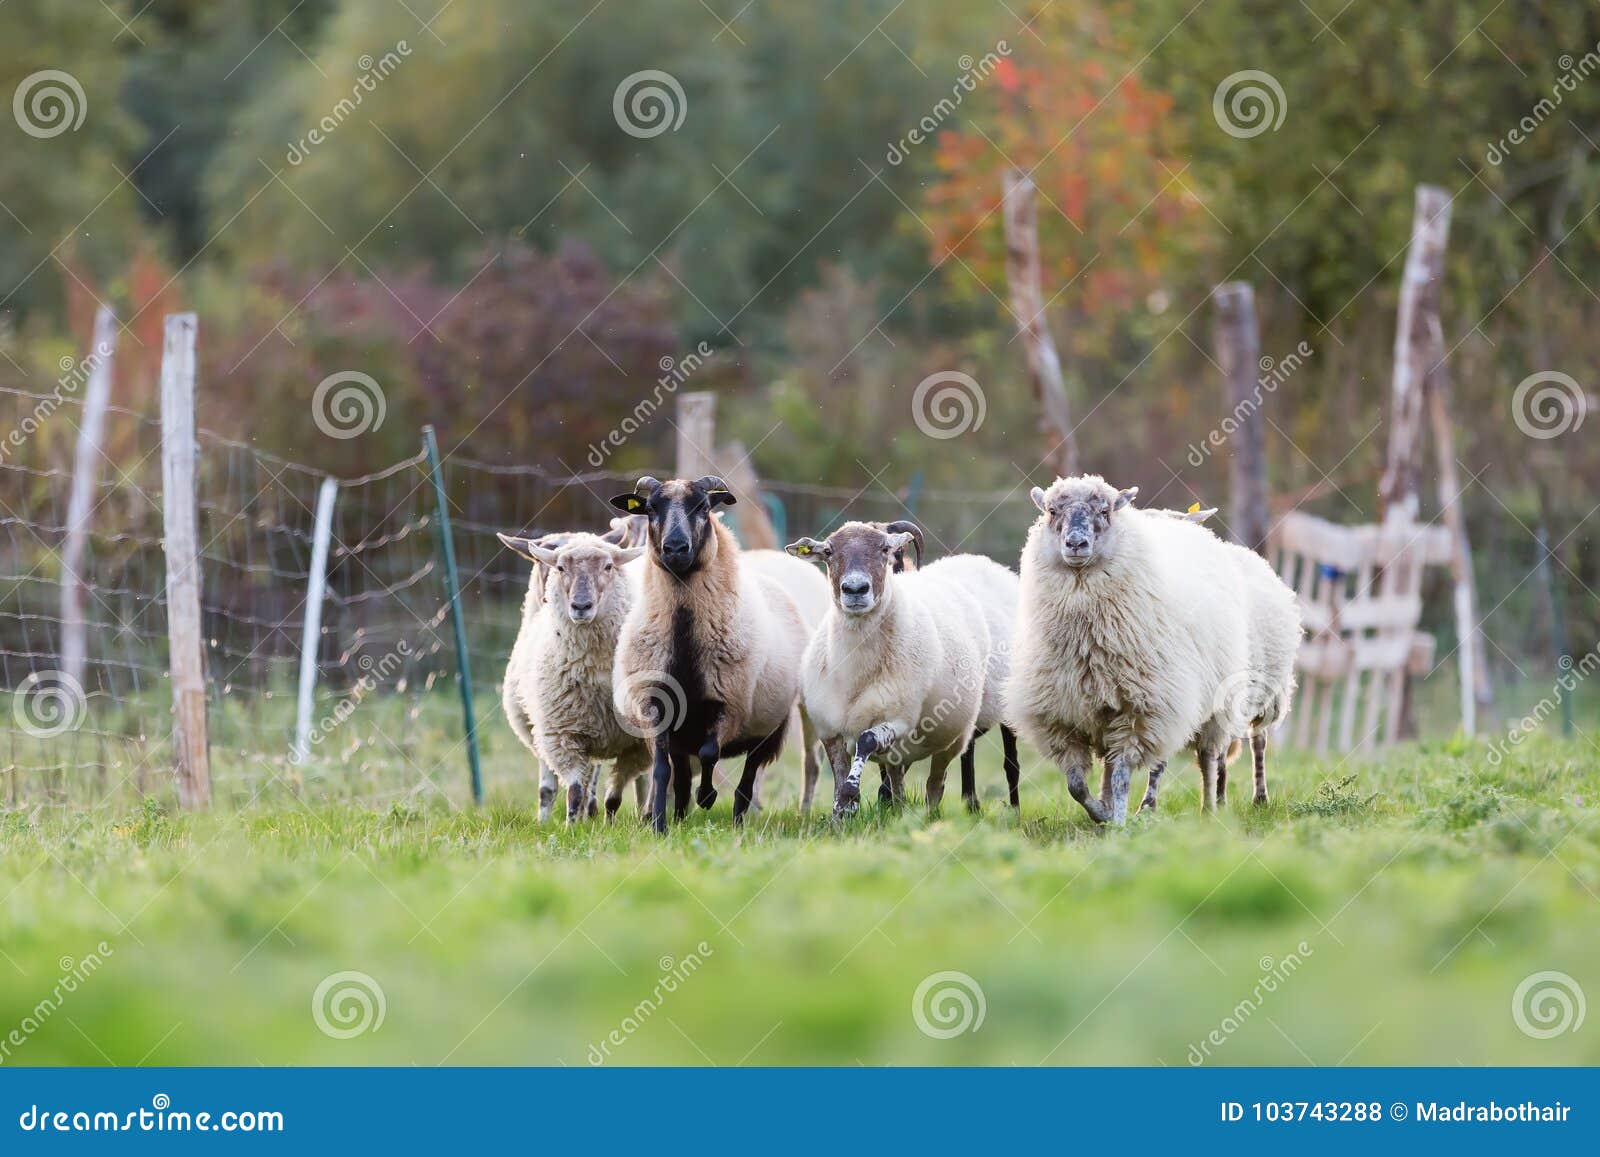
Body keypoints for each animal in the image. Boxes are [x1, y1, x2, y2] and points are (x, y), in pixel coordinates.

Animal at [609, 475, 810, 833]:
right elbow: (662, 771)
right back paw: (679, 815)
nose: (675, 548)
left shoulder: (727, 706)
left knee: (746, 781)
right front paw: (659, 824)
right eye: (650, 508)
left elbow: (709, 753)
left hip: (766, 729)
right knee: (681, 777)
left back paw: (737, 821)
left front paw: (707, 797)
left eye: (703, 507)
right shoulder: (655, 708)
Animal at [786, 521, 993, 816]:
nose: (855, 589)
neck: (855, 675)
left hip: (953, 739)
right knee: (896, 778)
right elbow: (838, 779)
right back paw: (898, 810)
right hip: (901, 751)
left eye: (884, 549)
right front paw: (841, 813)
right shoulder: (829, 731)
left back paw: (929, 816)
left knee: (935, 784)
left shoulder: (899, 720)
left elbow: (866, 740)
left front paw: (851, 793)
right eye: (828, 551)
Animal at [1007, 475, 1251, 826]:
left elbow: (1122, 775)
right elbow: (1076, 785)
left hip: (1215, 706)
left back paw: (1208, 810)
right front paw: (1102, 814)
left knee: (1207, 758)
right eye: (1052, 511)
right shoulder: (1060, 718)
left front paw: (1118, 822)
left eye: (1105, 511)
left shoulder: (1141, 711)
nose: (1076, 544)